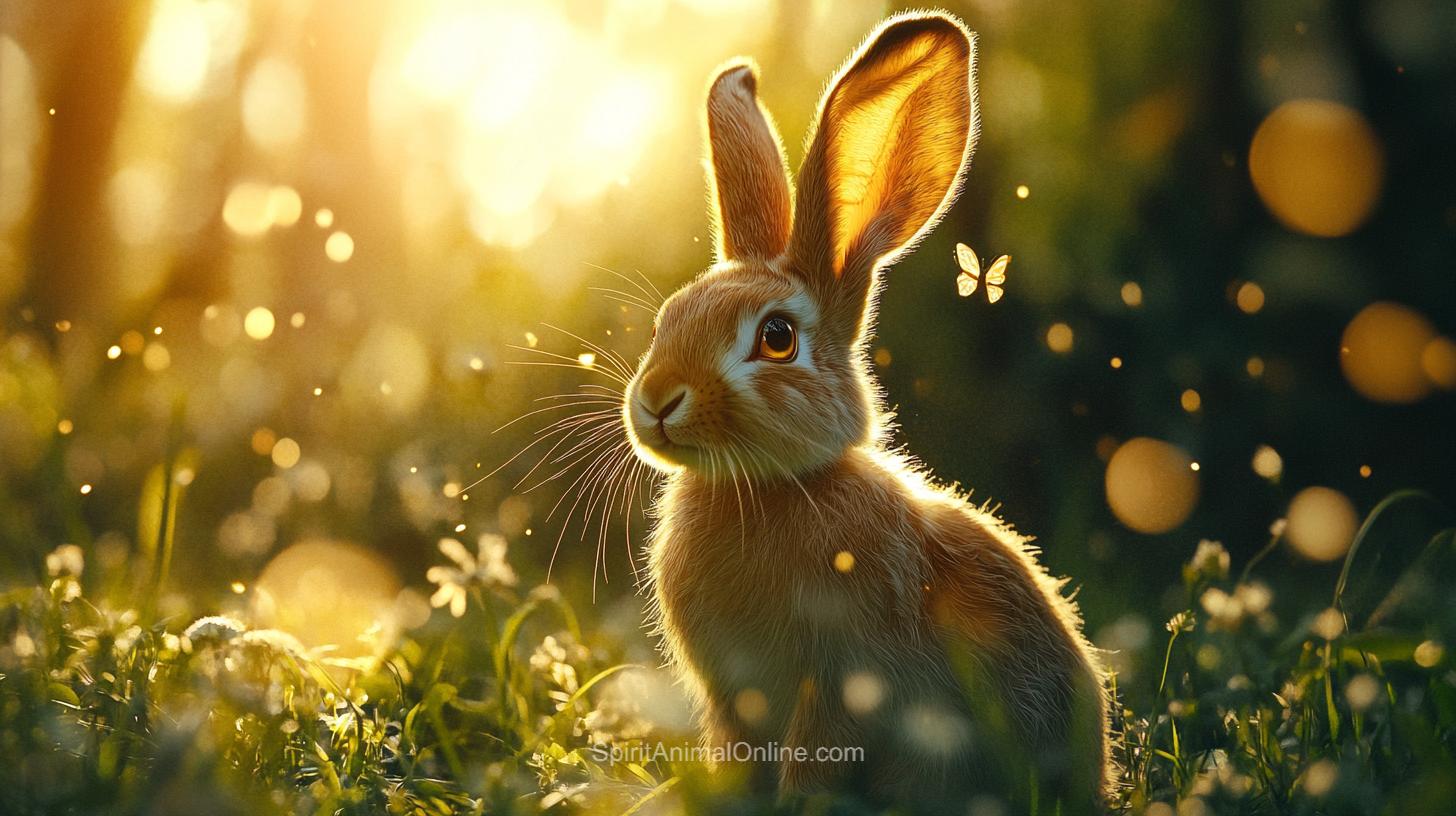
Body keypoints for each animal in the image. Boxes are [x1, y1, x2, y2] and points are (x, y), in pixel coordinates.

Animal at [621, 11, 1111, 812]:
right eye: (667, 318)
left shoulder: (842, 681)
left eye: (777, 338)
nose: (657, 400)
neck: (771, 487)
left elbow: (812, 761)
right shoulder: (732, 701)